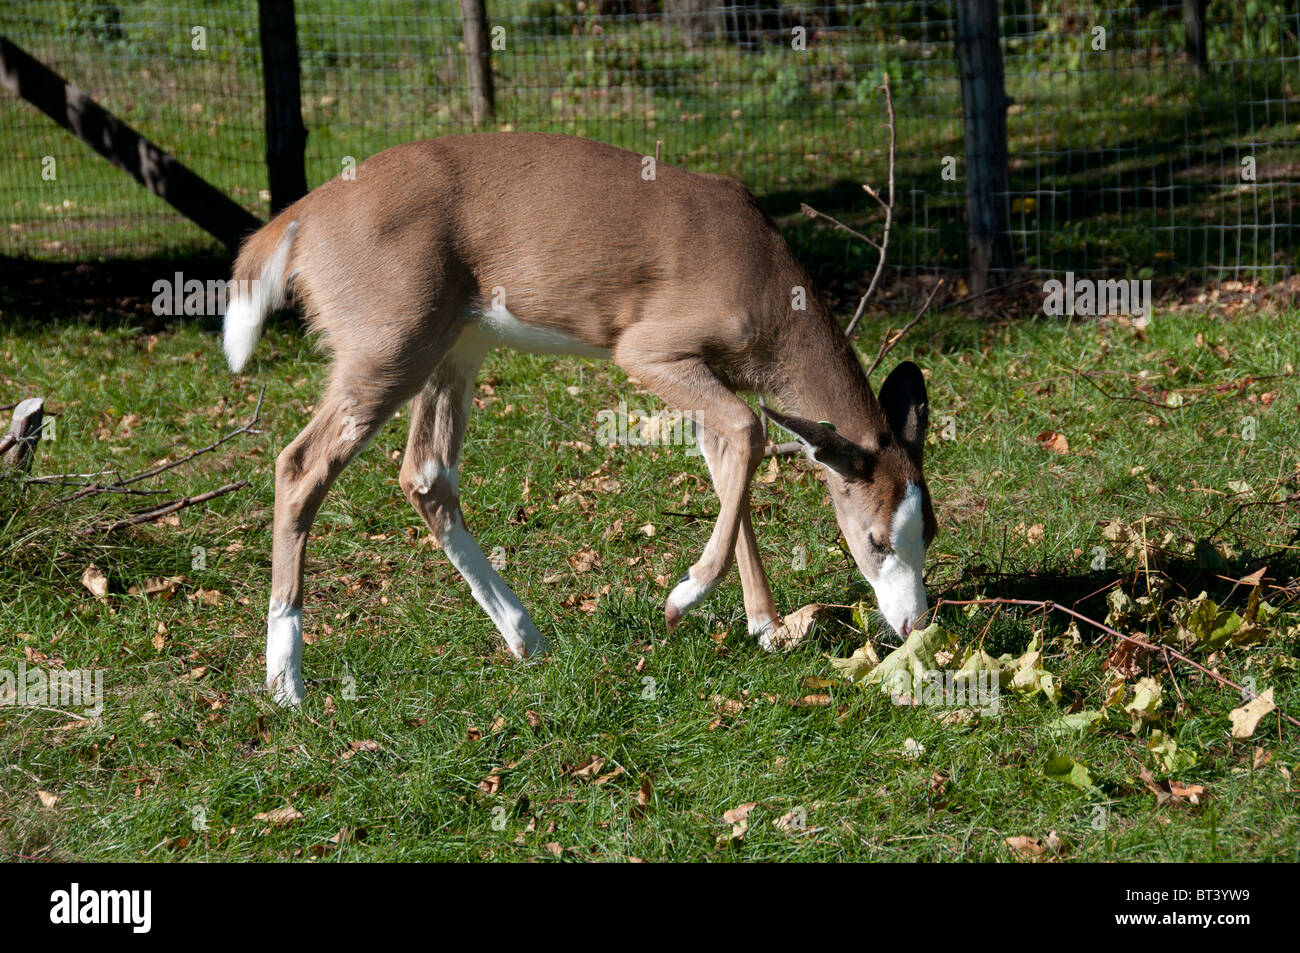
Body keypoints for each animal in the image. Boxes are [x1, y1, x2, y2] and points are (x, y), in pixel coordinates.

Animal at [222, 132, 937, 706]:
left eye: (928, 531)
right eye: (875, 539)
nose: (915, 624)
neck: (770, 302)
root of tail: (298, 220)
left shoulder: (700, 375)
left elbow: (729, 463)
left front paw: (766, 626)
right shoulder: (647, 348)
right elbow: (750, 432)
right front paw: (684, 596)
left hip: (453, 342)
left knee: (425, 473)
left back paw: (525, 636)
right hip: (386, 338)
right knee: (299, 465)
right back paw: (286, 682)